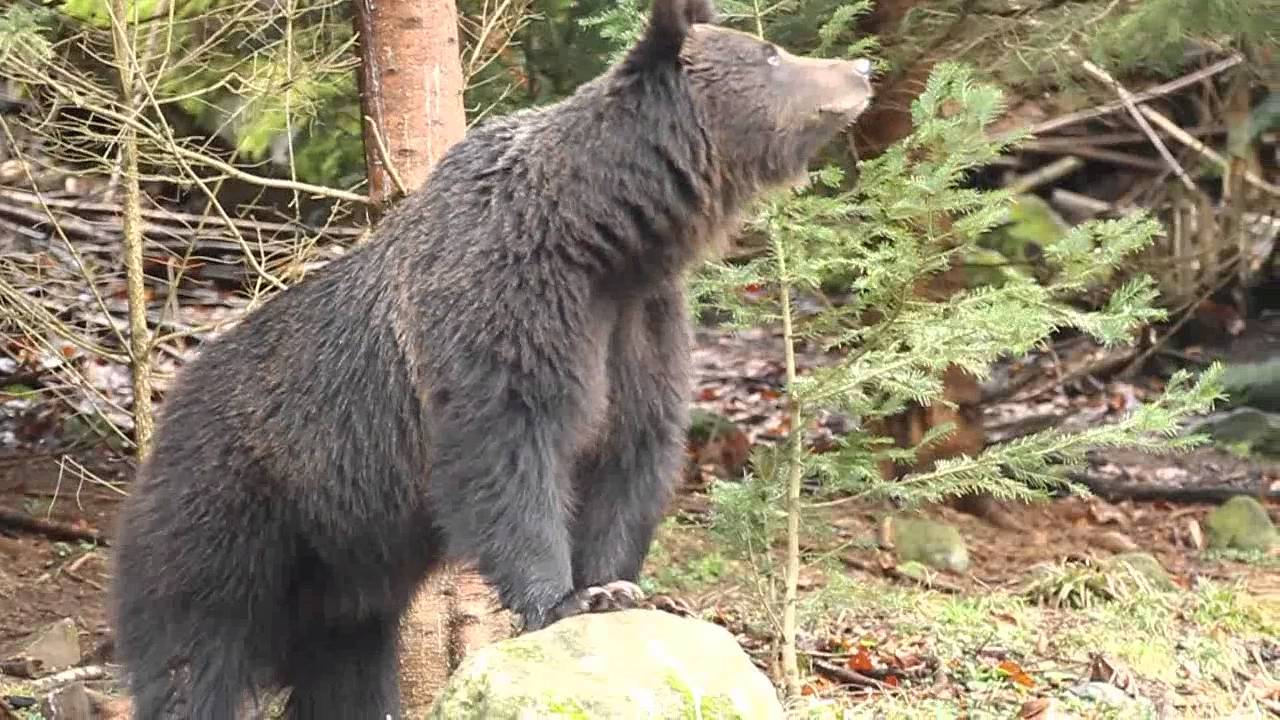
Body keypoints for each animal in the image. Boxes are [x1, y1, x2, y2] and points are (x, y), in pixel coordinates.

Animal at [108, 0, 875, 717]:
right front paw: (564, 597)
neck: (603, 234)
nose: (861, 67)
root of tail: (169, 400)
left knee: (347, 665)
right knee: (194, 648)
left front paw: (621, 586)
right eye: (771, 54)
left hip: (344, 573)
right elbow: (508, 446)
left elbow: (631, 451)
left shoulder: (640, 324)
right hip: (235, 506)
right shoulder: (504, 299)